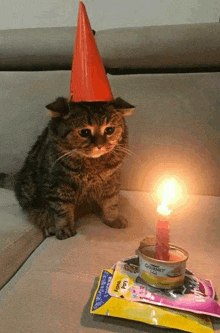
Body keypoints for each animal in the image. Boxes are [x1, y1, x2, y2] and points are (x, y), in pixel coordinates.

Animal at [14, 96, 134, 239]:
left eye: (110, 130)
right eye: (85, 132)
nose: (100, 145)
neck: (93, 163)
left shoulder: (111, 180)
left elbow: (111, 202)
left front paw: (112, 218)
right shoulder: (58, 185)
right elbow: (62, 209)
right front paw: (64, 227)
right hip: (29, 194)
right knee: (36, 213)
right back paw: (48, 225)